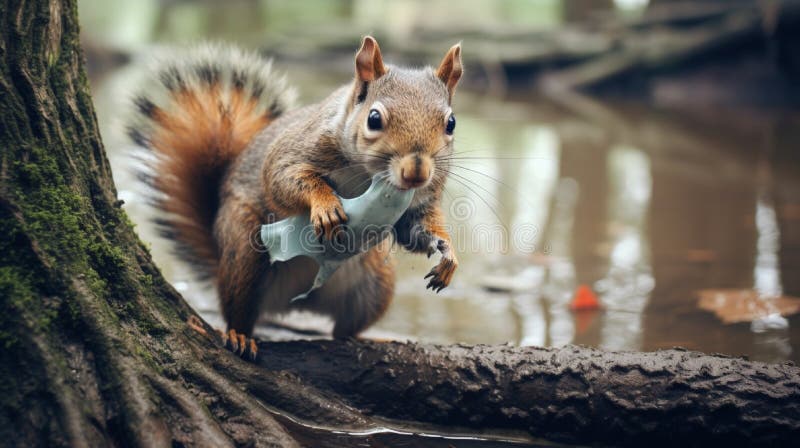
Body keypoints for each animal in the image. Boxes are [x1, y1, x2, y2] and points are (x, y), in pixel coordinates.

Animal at [128, 37, 462, 358]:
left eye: (451, 123)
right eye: (374, 119)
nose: (416, 173)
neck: (366, 175)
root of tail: (295, 303)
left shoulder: (415, 203)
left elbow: (413, 230)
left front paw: (447, 254)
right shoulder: (297, 149)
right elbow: (282, 180)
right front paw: (325, 206)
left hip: (376, 282)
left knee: (342, 330)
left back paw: (366, 338)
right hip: (244, 250)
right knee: (239, 308)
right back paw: (238, 335)